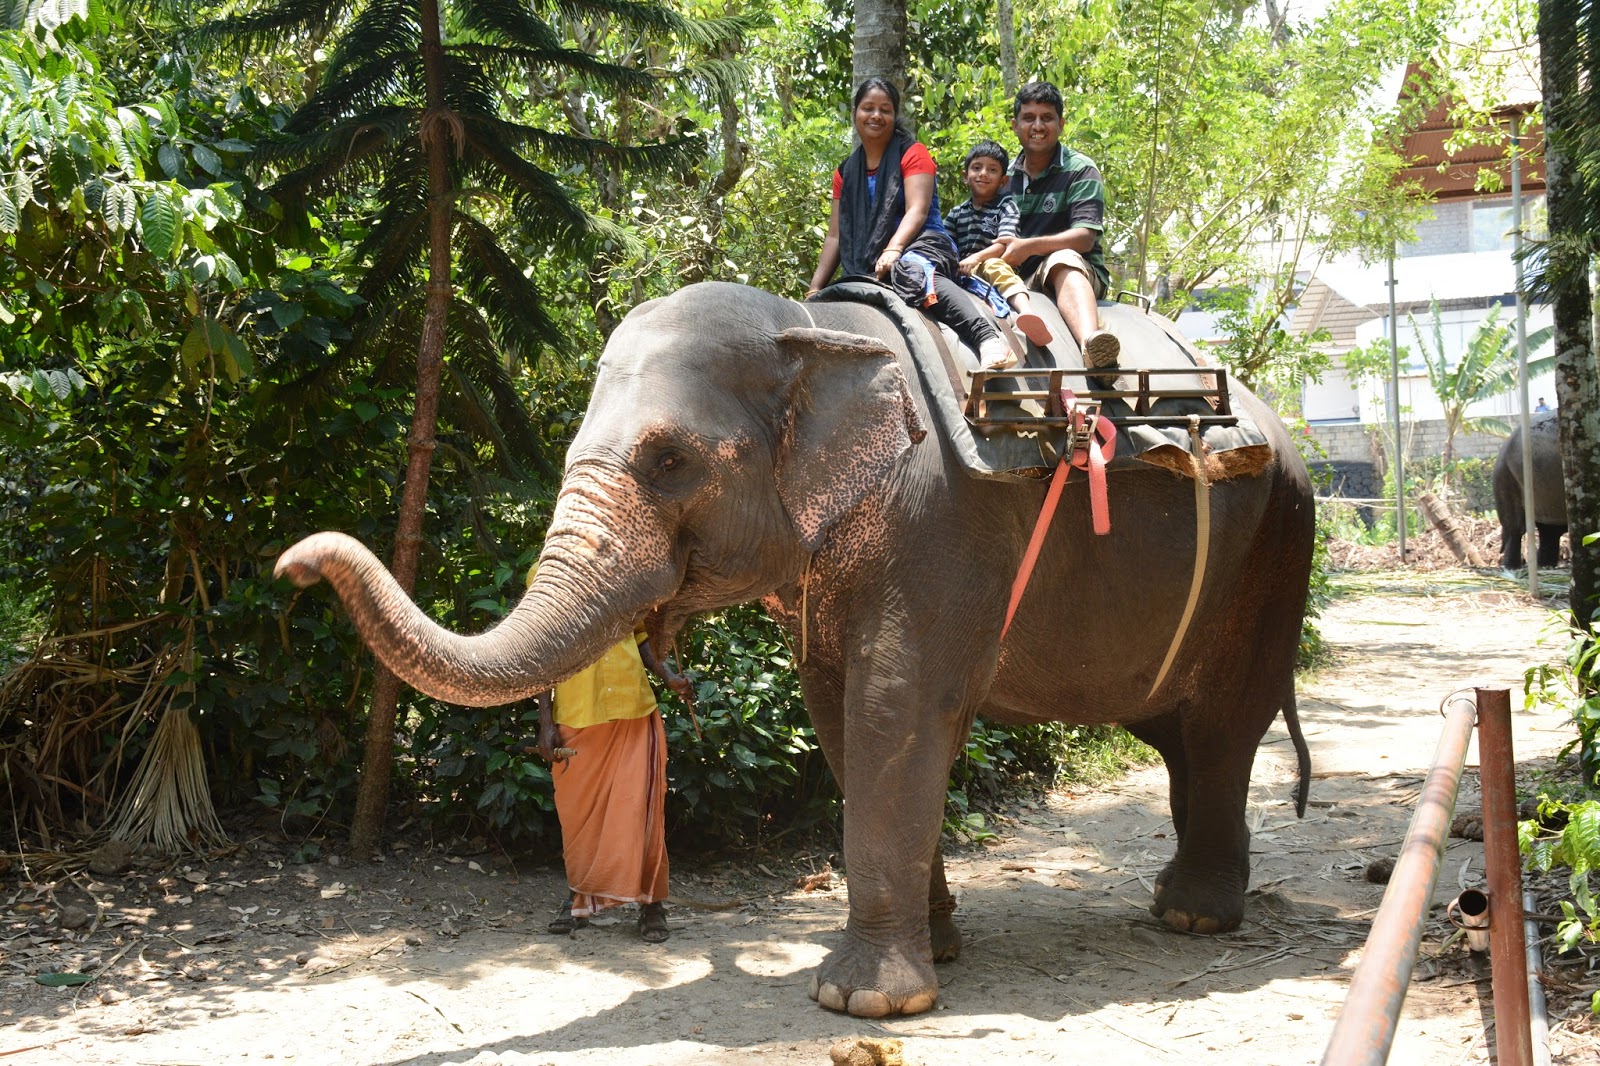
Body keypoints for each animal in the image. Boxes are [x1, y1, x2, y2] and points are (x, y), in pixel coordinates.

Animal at [275, 281, 1315, 1019]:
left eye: (668, 461)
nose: (293, 564)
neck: (812, 328)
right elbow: (838, 713)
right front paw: (934, 953)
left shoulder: (941, 522)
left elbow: (894, 704)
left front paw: (862, 1002)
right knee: (1180, 735)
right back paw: (1179, 899)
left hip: (1280, 541)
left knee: (1222, 729)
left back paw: (1191, 916)